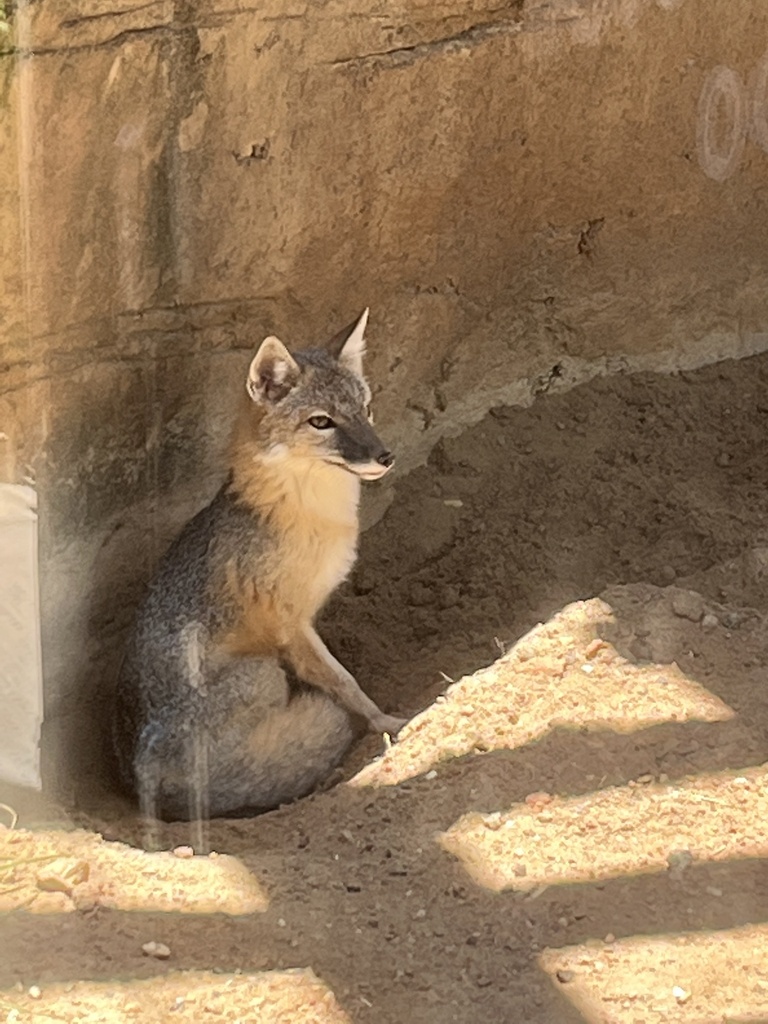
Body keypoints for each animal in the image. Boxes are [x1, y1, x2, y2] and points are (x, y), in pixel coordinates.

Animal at [112, 309, 406, 820]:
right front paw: (382, 719)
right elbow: (343, 681)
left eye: (366, 409)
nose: (384, 456)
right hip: (264, 671)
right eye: (321, 422)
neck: (310, 514)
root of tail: (144, 790)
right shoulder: (291, 626)